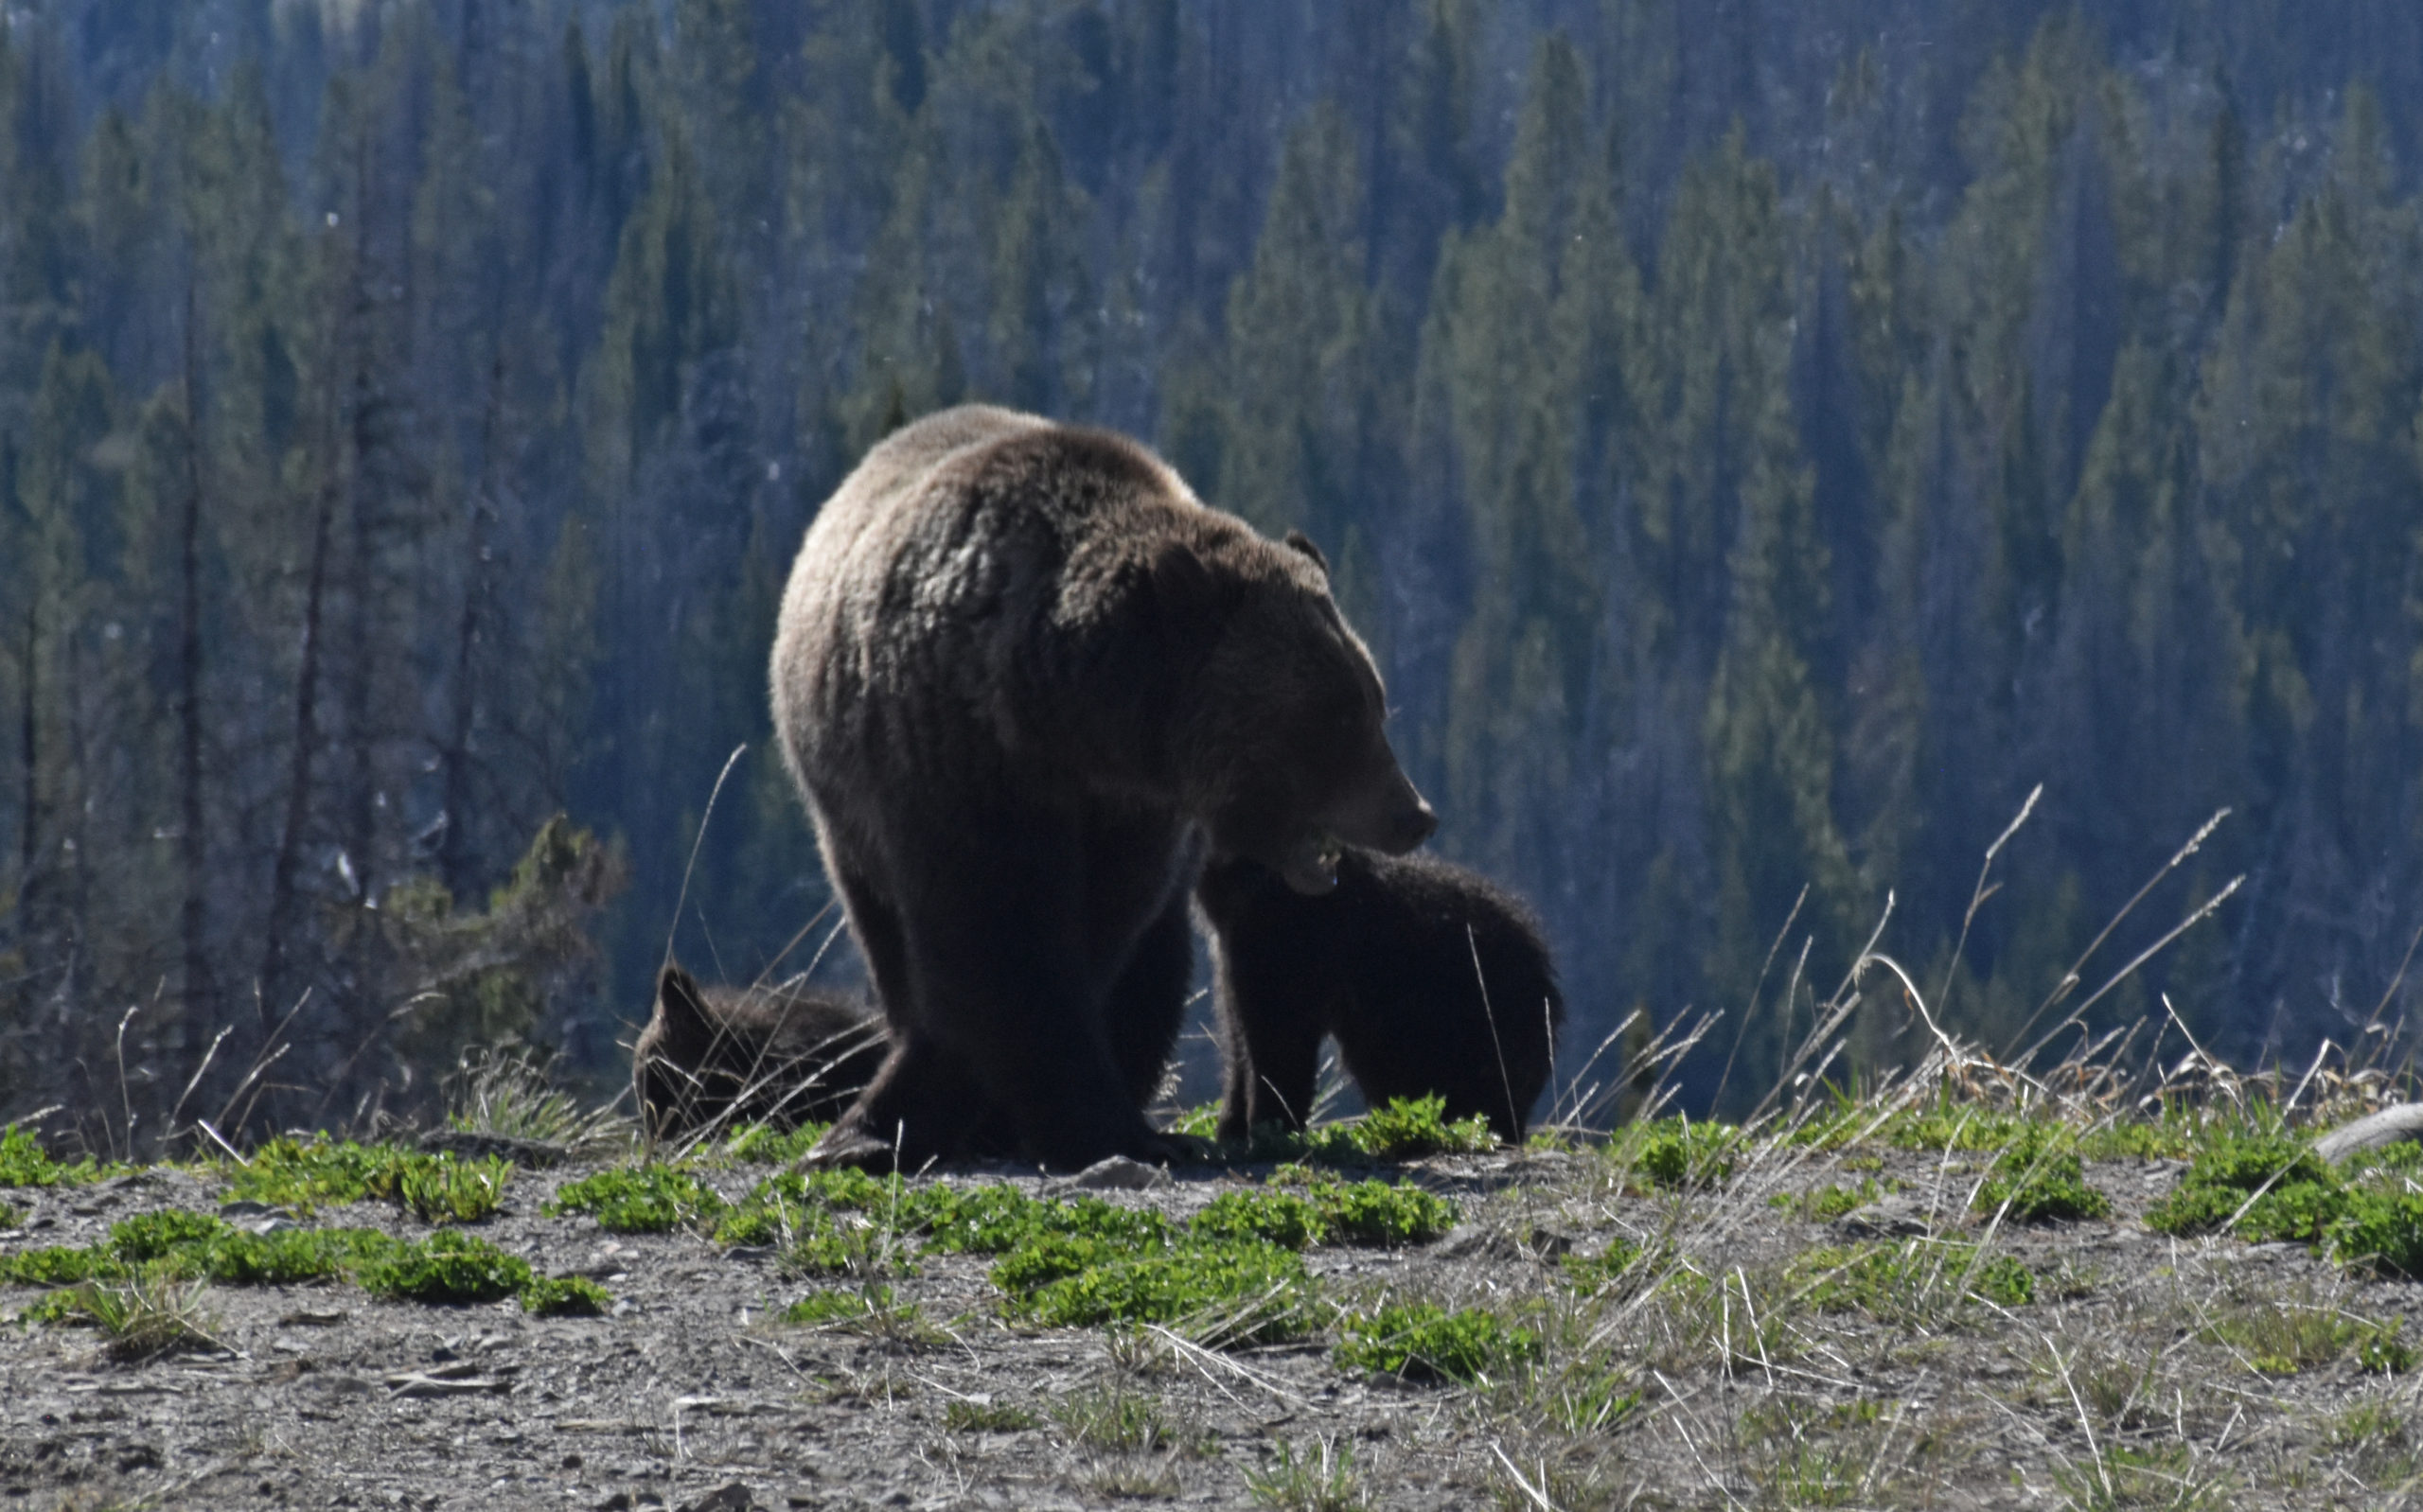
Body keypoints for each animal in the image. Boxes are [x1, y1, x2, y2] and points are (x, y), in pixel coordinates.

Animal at [770, 403, 1434, 1171]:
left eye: (1372, 699)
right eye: (1339, 713)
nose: (1415, 813)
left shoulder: (1136, 817)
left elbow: (1093, 943)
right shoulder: (961, 768)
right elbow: (1000, 943)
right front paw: (888, 1125)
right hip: (846, 814)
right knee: (887, 934)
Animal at [1194, 848, 1564, 1144]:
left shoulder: (1288, 938)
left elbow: (1280, 1036)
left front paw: (1268, 1128)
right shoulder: (1234, 945)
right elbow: (1238, 1034)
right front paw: (1231, 1126)